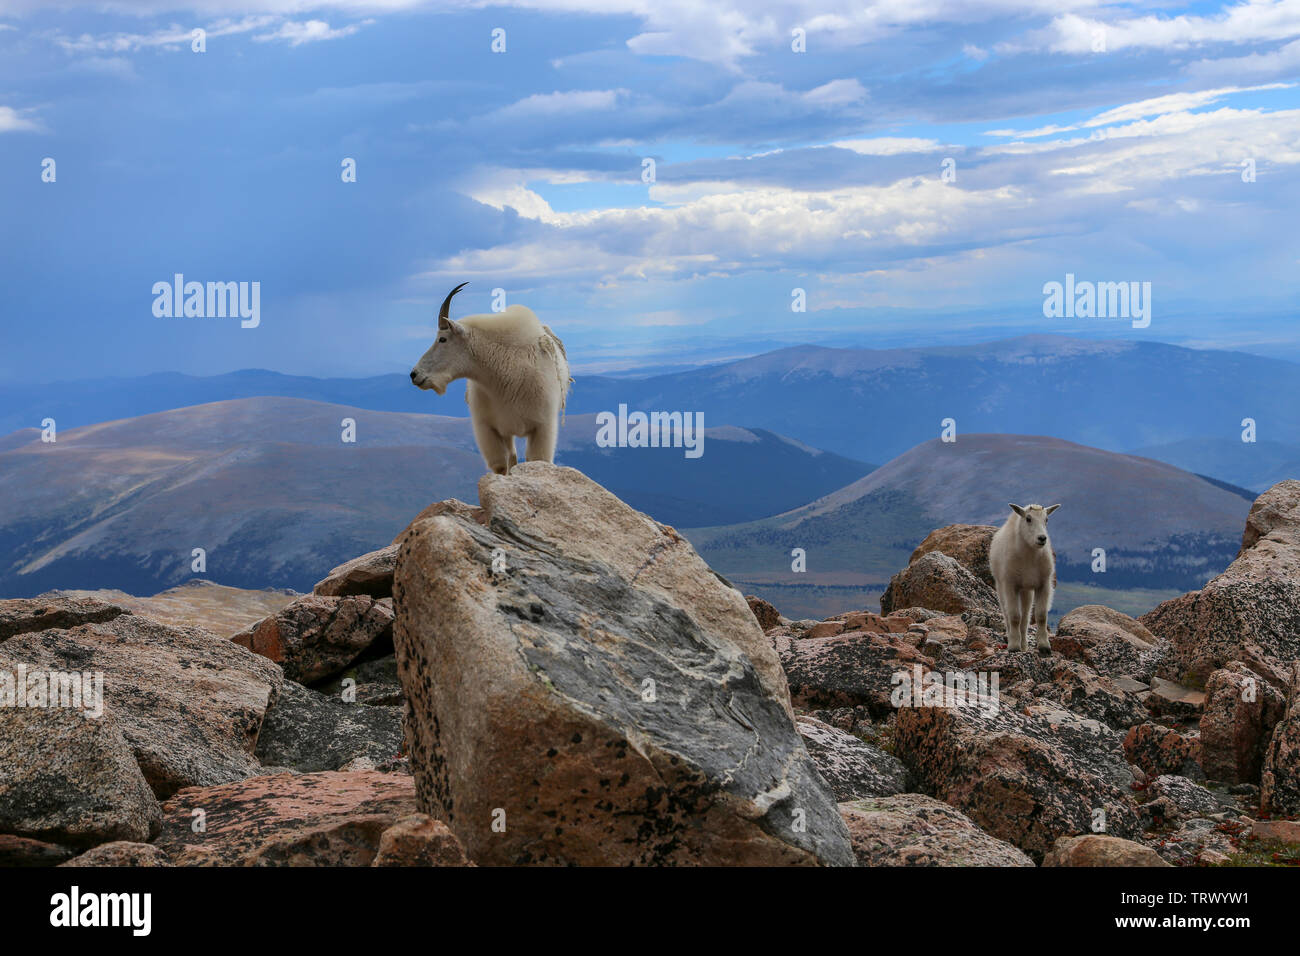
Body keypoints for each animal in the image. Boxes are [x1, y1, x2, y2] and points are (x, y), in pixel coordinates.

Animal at [410, 283, 571, 475]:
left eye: (442, 339)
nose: (414, 374)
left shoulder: (543, 426)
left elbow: (538, 459)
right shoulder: (488, 427)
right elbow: (500, 465)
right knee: (512, 458)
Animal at [989, 503, 1061, 654]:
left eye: (1046, 519)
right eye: (1028, 518)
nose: (1042, 538)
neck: (1030, 555)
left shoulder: (1043, 584)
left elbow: (1041, 616)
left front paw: (1044, 646)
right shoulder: (1010, 584)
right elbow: (1014, 616)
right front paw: (1014, 646)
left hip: (1026, 590)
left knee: (1026, 616)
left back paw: (1024, 645)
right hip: (1000, 586)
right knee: (1007, 614)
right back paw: (1013, 639)